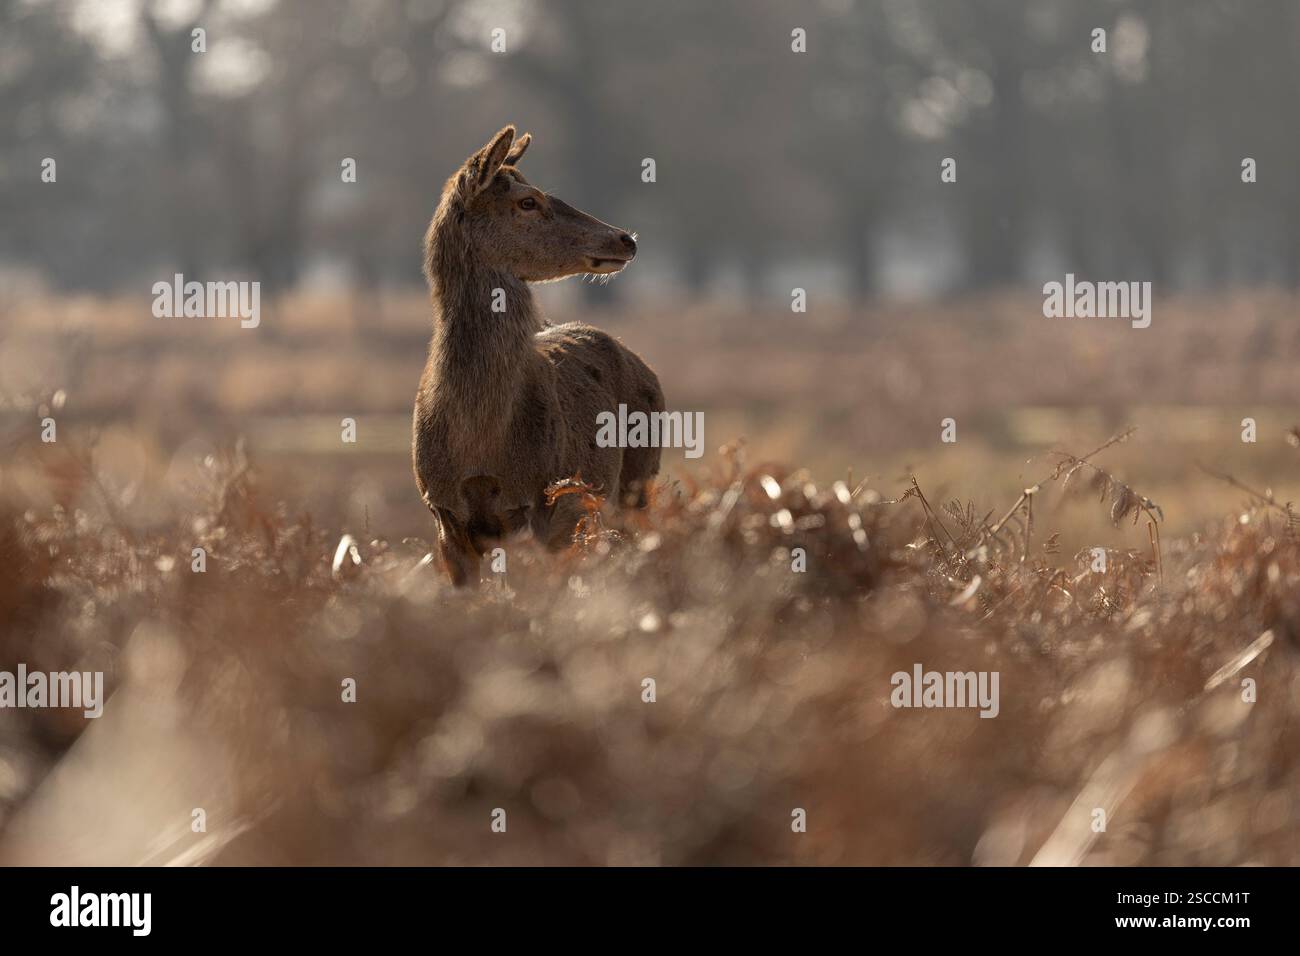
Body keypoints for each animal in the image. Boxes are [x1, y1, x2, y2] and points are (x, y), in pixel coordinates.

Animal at [413, 126, 665, 587]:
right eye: (527, 201)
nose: (626, 239)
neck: (478, 434)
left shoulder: (544, 508)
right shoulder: (443, 513)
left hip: (638, 484)